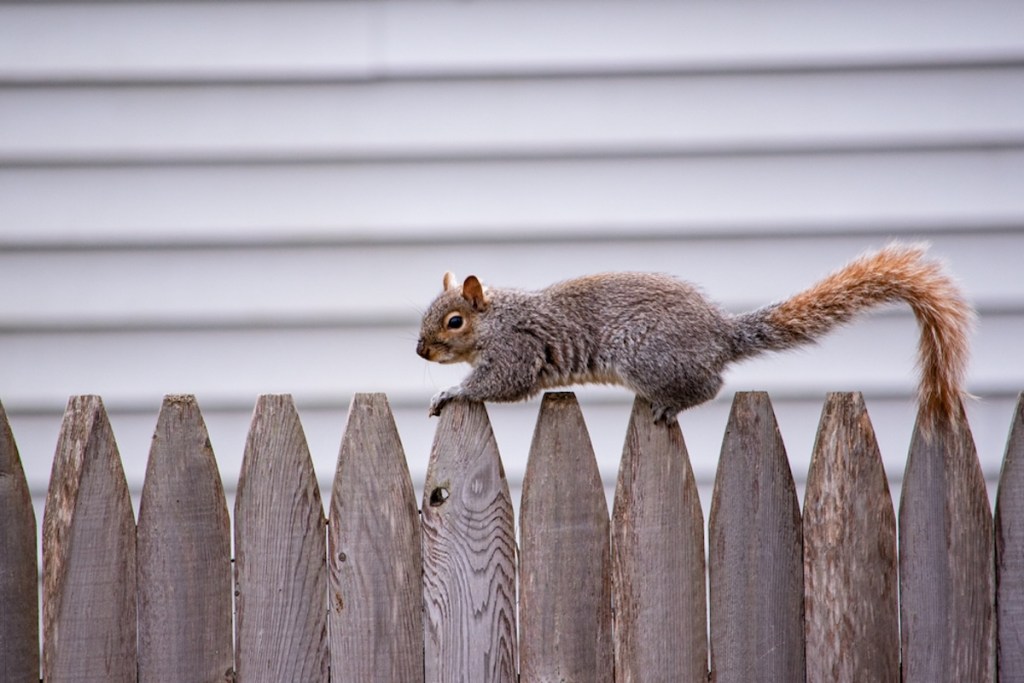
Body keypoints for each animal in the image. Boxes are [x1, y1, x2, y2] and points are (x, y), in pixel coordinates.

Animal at [416, 243, 973, 429]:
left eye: (454, 321)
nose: (421, 351)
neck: (497, 318)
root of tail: (721, 334)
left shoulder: (519, 349)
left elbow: (500, 383)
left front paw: (452, 392)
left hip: (648, 357)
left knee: (710, 386)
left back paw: (672, 404)